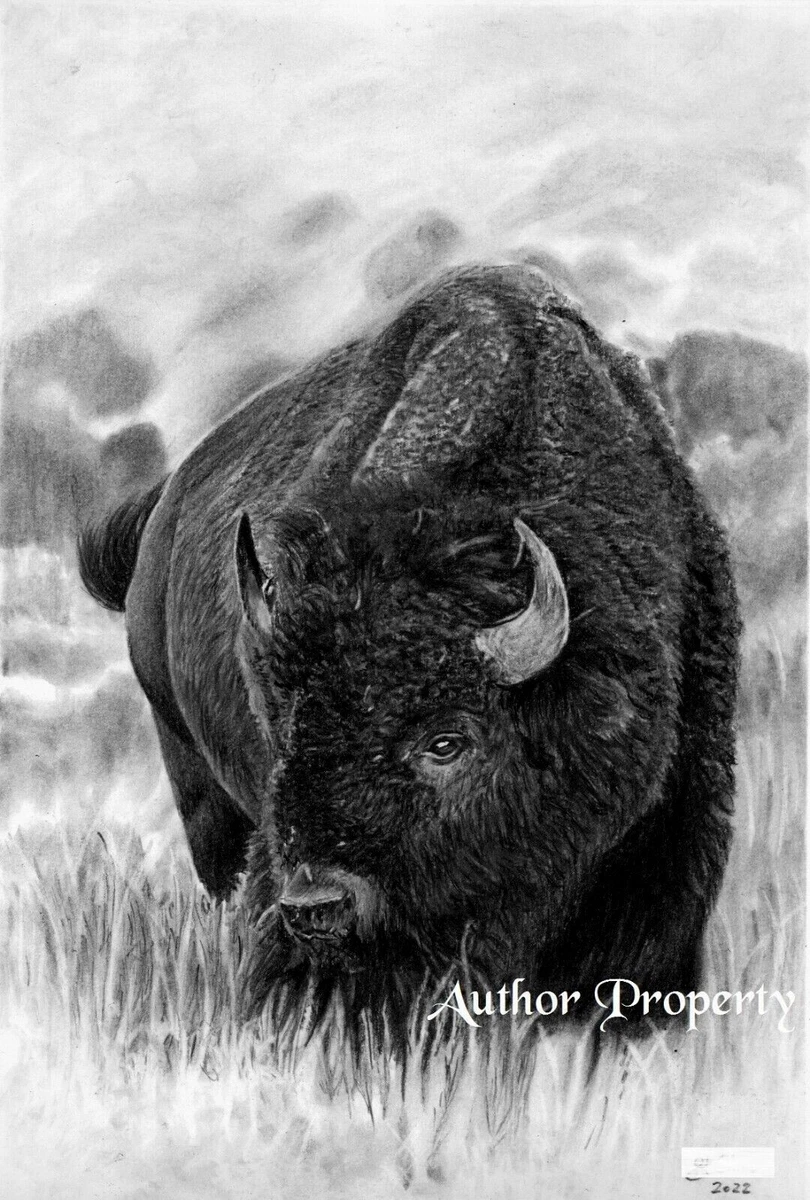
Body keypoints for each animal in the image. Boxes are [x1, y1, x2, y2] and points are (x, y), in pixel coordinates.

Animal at [79, 264, 740, 1046]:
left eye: (446, 740)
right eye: (290, 730)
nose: (318, 904)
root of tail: (161, 508)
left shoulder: (674, 826)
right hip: (200, 795)